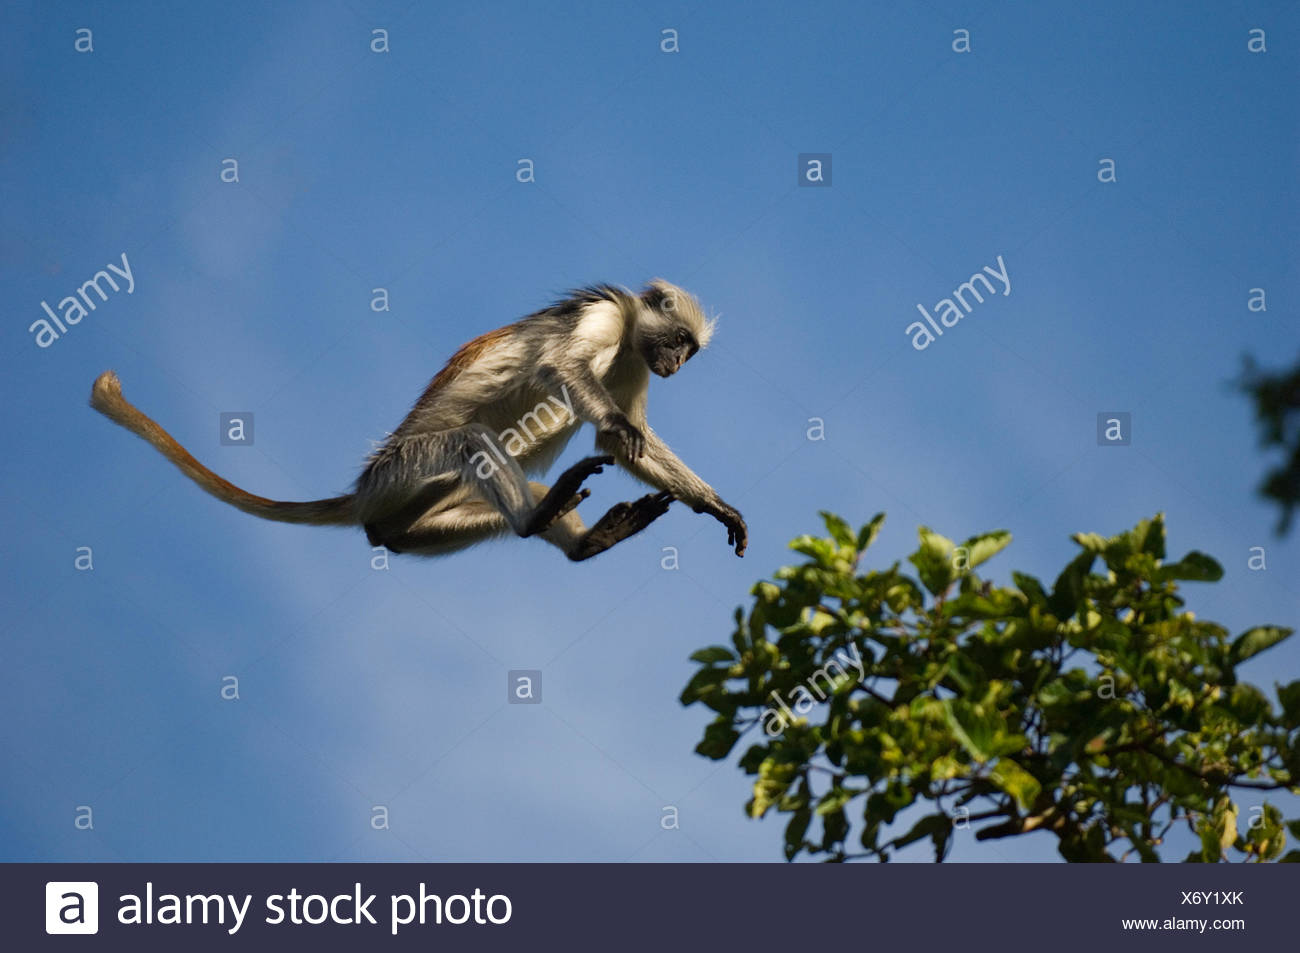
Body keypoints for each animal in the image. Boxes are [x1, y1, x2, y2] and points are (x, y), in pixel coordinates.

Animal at [90, 279, 747, 562]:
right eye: (680, 343)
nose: (676, 365)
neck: (632, 334)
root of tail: (362, 494)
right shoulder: (606, 316)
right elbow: (564, 370)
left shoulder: (634, 357)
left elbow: (615, 434)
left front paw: (716, 506)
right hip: (400, 468)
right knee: (471, 441)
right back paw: (534, 518)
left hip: (421, 507)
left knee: (410, 528)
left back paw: (581, 540)